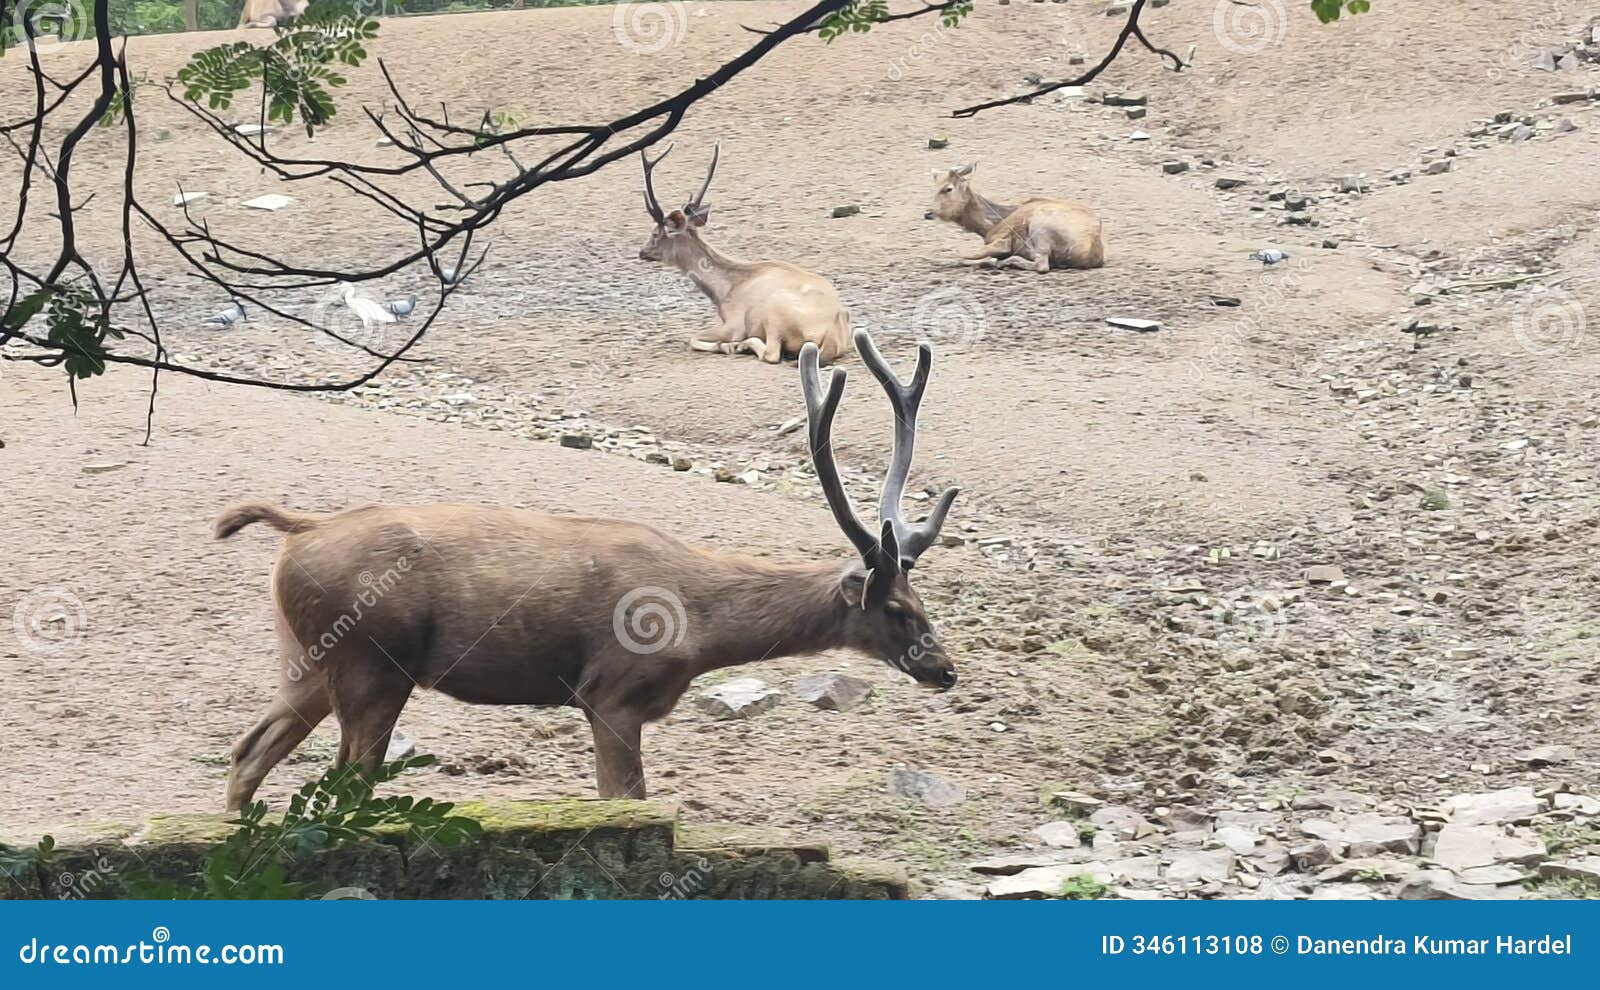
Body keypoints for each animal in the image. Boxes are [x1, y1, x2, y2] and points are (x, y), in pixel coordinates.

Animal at [214, 330, 960, 810]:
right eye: (897, 609)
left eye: (925, 600)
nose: (946, 669)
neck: (701, 631)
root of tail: (301, 530)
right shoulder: (612, 691)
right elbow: (626, 801)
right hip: (373, 664)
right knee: (343, 780)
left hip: (307, 659)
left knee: (248, 753)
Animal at [638, 144, 853, 364]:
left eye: (655, 233)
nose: (642, 252)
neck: (724, 291)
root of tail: (833, 334)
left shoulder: (734, 323)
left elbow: (693, 338)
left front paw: (726, 346)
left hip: (774, 310)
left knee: (771, 354)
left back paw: (741, 346)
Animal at [930, 164, 1105, 273]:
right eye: (934, 187)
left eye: (948, 188)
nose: (928, 213)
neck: (989, 226)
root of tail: (1089, 250)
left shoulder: (1002, 240)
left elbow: (964, 257)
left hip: (1040, 228)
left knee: (1041, 265)